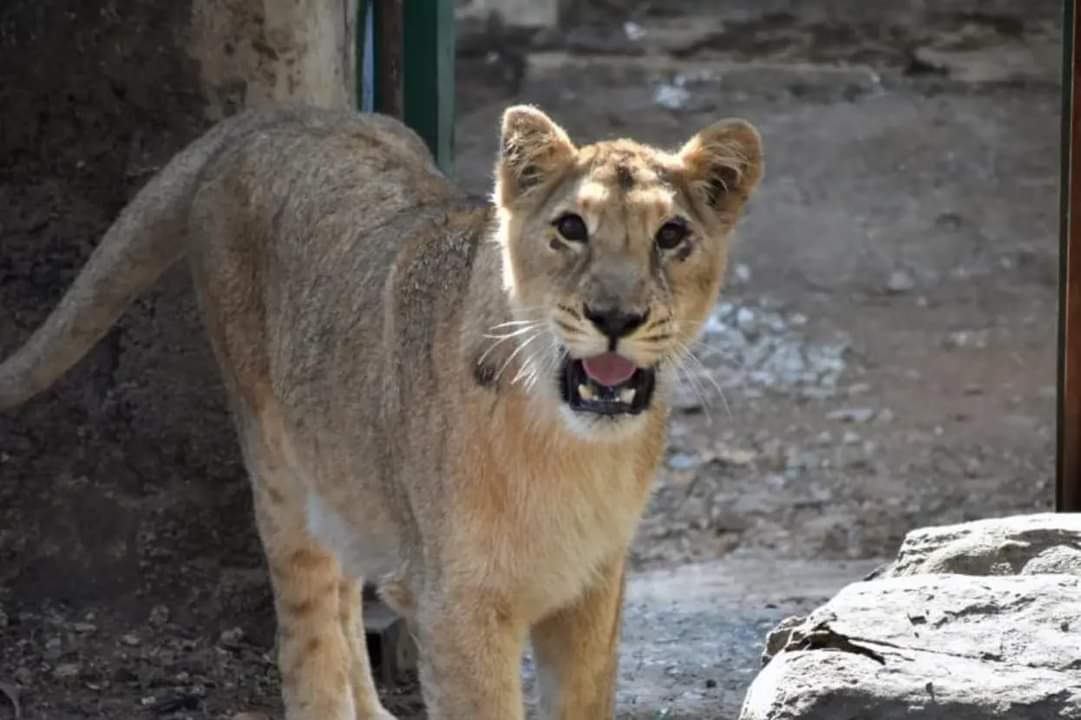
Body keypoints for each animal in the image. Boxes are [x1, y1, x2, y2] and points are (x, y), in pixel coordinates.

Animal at [0, 103, 762, 719]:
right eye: (571, 227)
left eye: (671, 236)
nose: (615, 318)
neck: (568, 447)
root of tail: (273, 114)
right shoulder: (456, 608)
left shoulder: (592, 593)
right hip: (276, 459)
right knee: (306, 623)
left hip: (349, 467)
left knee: (343, 595)